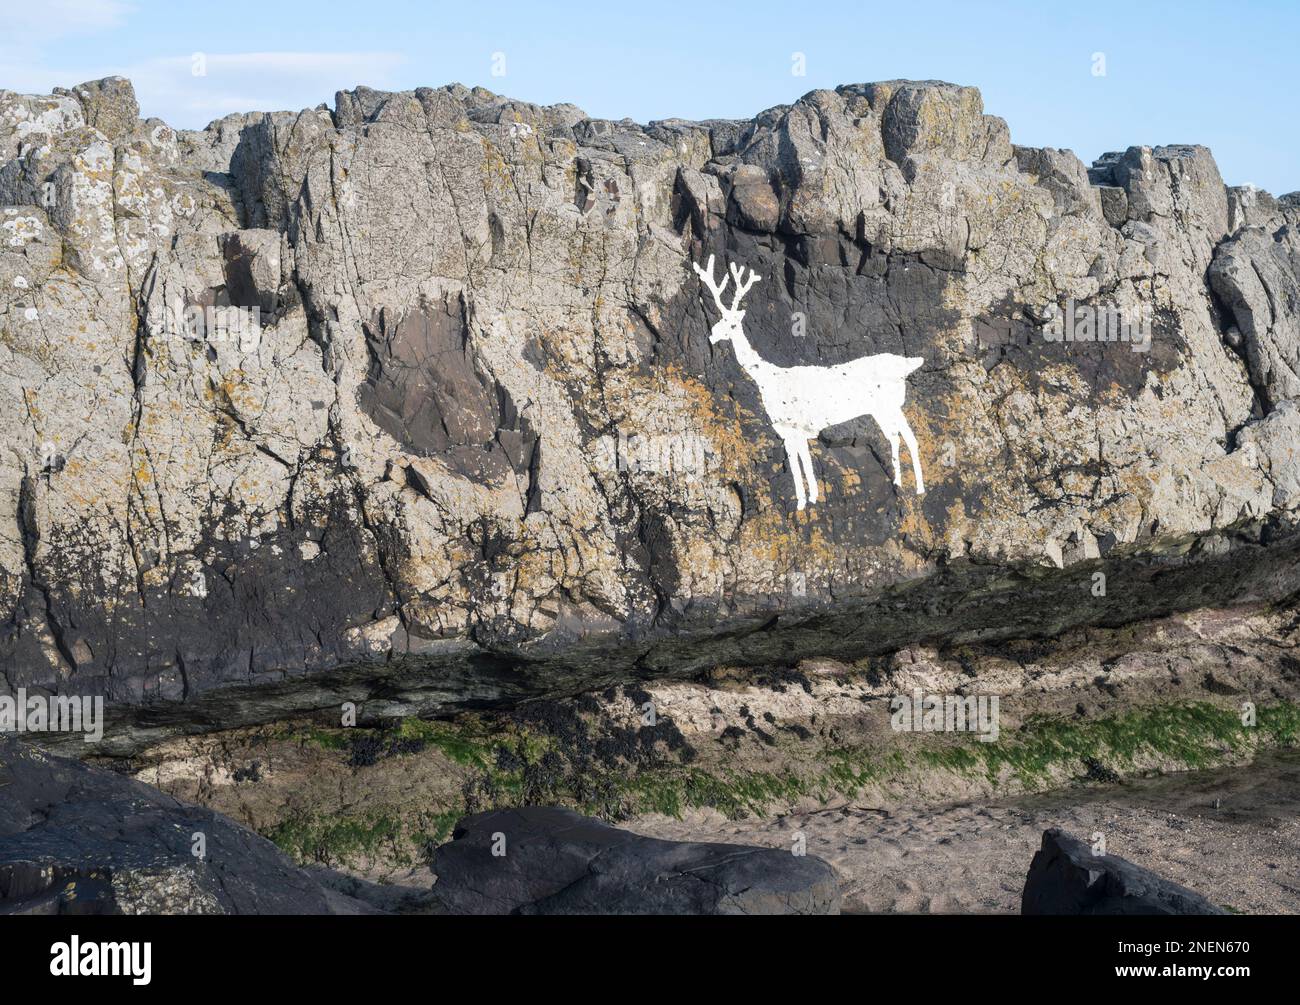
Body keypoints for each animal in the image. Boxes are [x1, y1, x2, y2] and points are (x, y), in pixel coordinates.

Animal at [693, 254, 926, 510]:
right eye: (720, 319)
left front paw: (807, 500)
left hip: (887, 407)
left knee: (903, 438)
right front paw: (808, 499)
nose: (712, 335)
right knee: (902, 438)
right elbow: (799, 462)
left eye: (732, 323)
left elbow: (801, 462)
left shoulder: (796, 425)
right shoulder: (787, 429)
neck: (767, 379)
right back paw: (908, 484)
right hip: (888, 409)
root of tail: (908, 364)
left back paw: (910, 485)